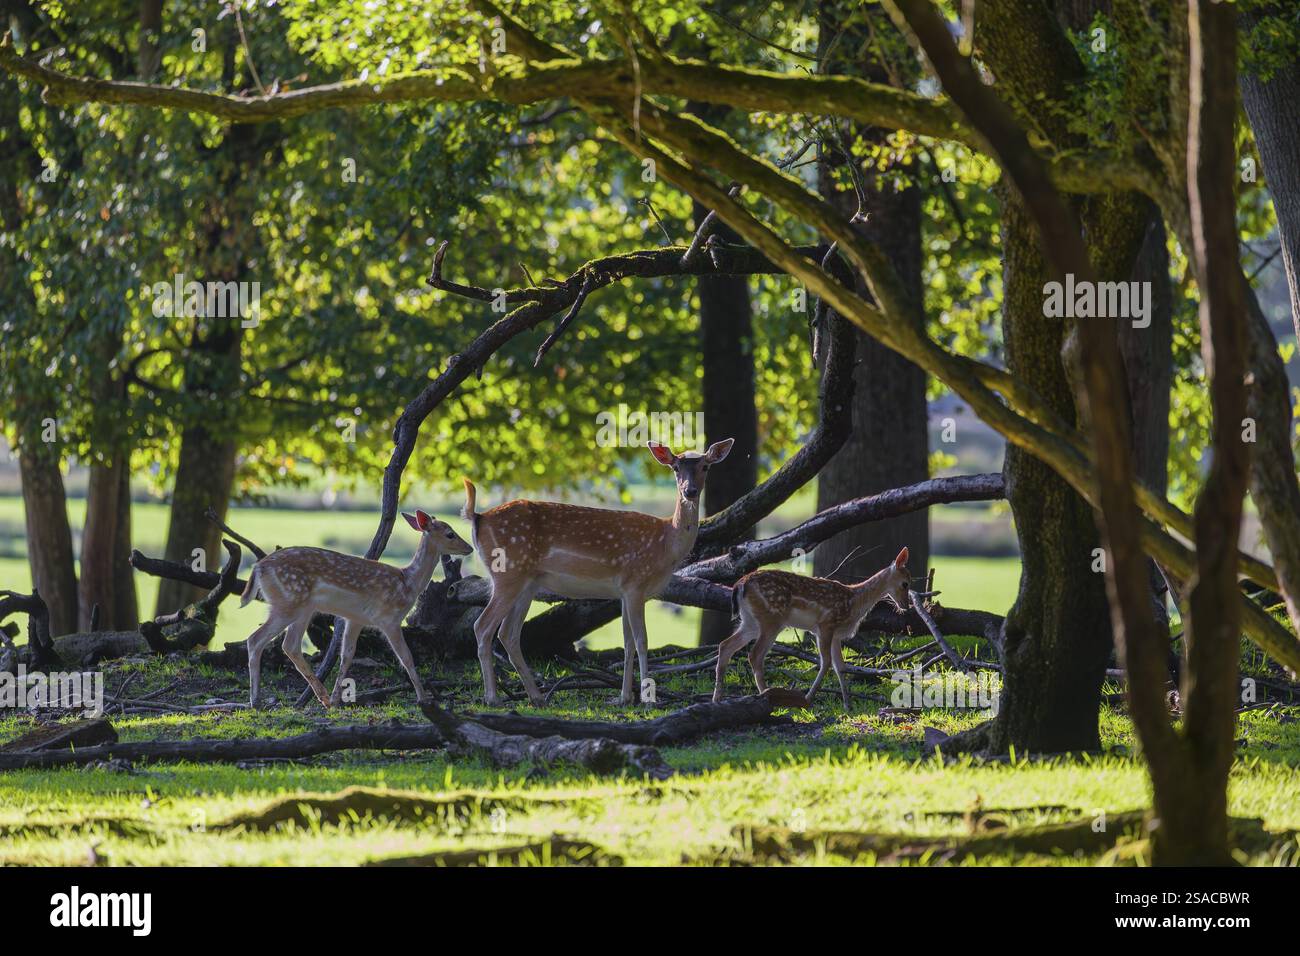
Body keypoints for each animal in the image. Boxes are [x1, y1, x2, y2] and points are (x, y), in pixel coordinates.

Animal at [238, 509, 473, 708]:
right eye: (450, 533)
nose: (469, 548)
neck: (408, 583)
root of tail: (258, 567)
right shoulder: (389, 619)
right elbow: (406, 657)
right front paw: (423, 698)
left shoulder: (356, 619)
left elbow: (347, 655)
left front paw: (336, 699)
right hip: (289, 602)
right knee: (256, 639)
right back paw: (255, 700)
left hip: (302, 608)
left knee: (289, 645)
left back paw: (323, 698)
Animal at [462, 438, 734, 708]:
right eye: (676, 468)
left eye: (705, 466)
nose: (690, 491)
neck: (666, 546)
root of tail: (478, 517)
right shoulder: (636, 583)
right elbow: (642, 641)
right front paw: (647, 699)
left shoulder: (623, 592)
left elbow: (627, 642)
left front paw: (624, 697)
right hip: (507, 573)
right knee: (482, 627)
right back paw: (493, 698)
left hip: (527, 584)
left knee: (507, 634)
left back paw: (537, 697)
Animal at [712, 548, 914, 710]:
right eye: (905, 583)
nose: (906, 606)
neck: (854, 602)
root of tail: (740, 584)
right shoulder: (825, 625)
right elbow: (825, 663)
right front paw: (808, 699)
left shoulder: (836, 635)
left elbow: (840, 666)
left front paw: (847, 705)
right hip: (771, 619)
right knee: (754, 655)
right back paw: (766, 696)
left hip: (750, 622)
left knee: (725, 645)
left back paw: (717, 699)